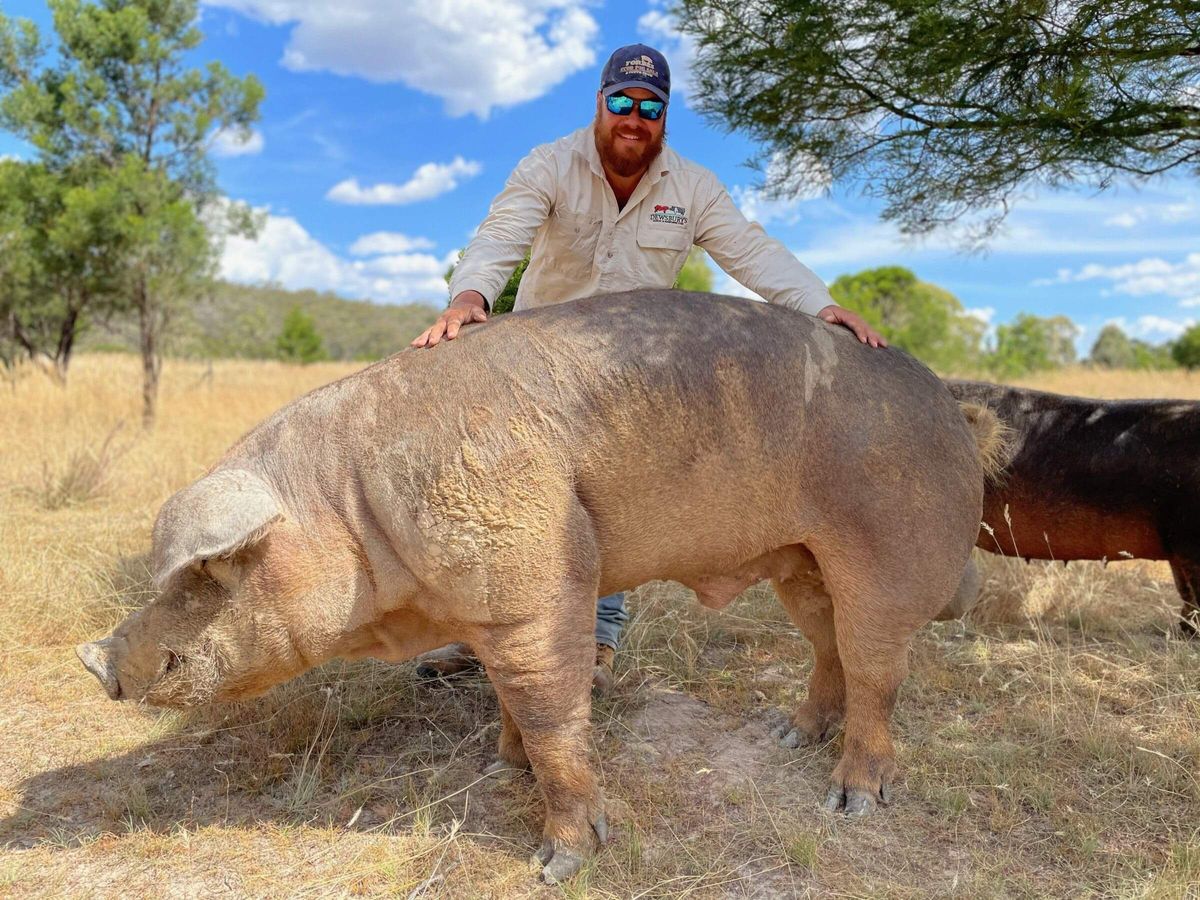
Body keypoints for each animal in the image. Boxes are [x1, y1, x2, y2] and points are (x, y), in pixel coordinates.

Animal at [78, 291, 998, 882]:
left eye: (209, 572)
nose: (94, 661)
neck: (349, 511)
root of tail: (954, 410)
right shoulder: (489, 605)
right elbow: (511, 700)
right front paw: (500, 766)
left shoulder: (539, 585)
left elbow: (553, 711)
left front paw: (559, 862)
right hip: (799, 558)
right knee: (827, 645)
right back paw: (785, 734)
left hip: (886, 546)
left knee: (878, 669)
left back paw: (853, 800)